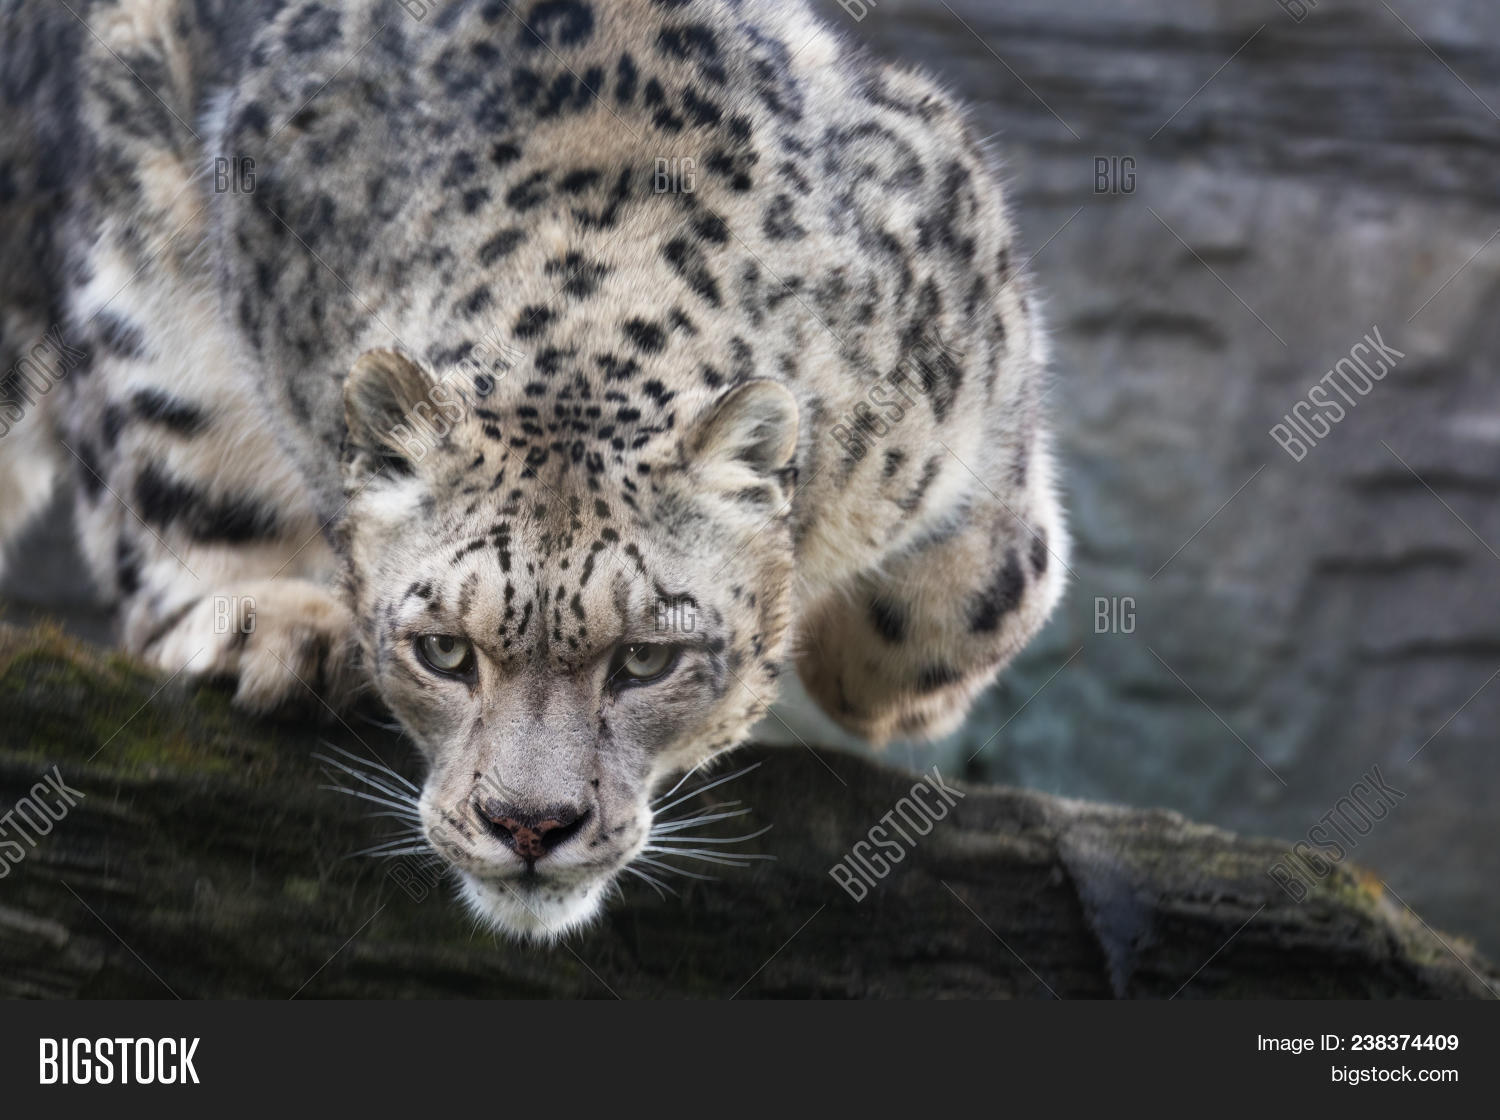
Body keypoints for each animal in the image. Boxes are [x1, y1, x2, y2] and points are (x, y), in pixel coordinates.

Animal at [0, 0, 1067, 938]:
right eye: (443, 650)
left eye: (648, 658)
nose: (528, 826)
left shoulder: (974, 320)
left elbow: (975, 592)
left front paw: (874, 683)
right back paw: (273, 628)